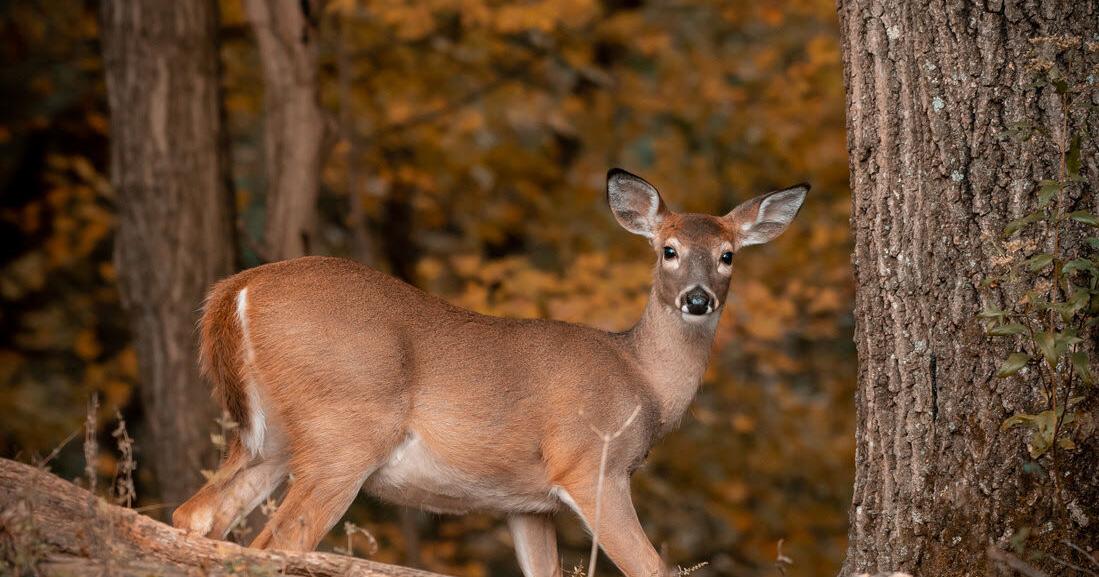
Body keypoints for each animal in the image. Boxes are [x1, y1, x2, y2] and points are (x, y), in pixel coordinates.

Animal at [171, 168, 808, 577]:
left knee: (196, 516)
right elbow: (652, 568)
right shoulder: (589, 464)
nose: (698, 299)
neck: (642, 380)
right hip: (344, 432)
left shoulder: (527, 504)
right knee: (275, 544)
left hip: (270, 437)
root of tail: (236, 290)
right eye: (668, 250)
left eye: (728, 255)